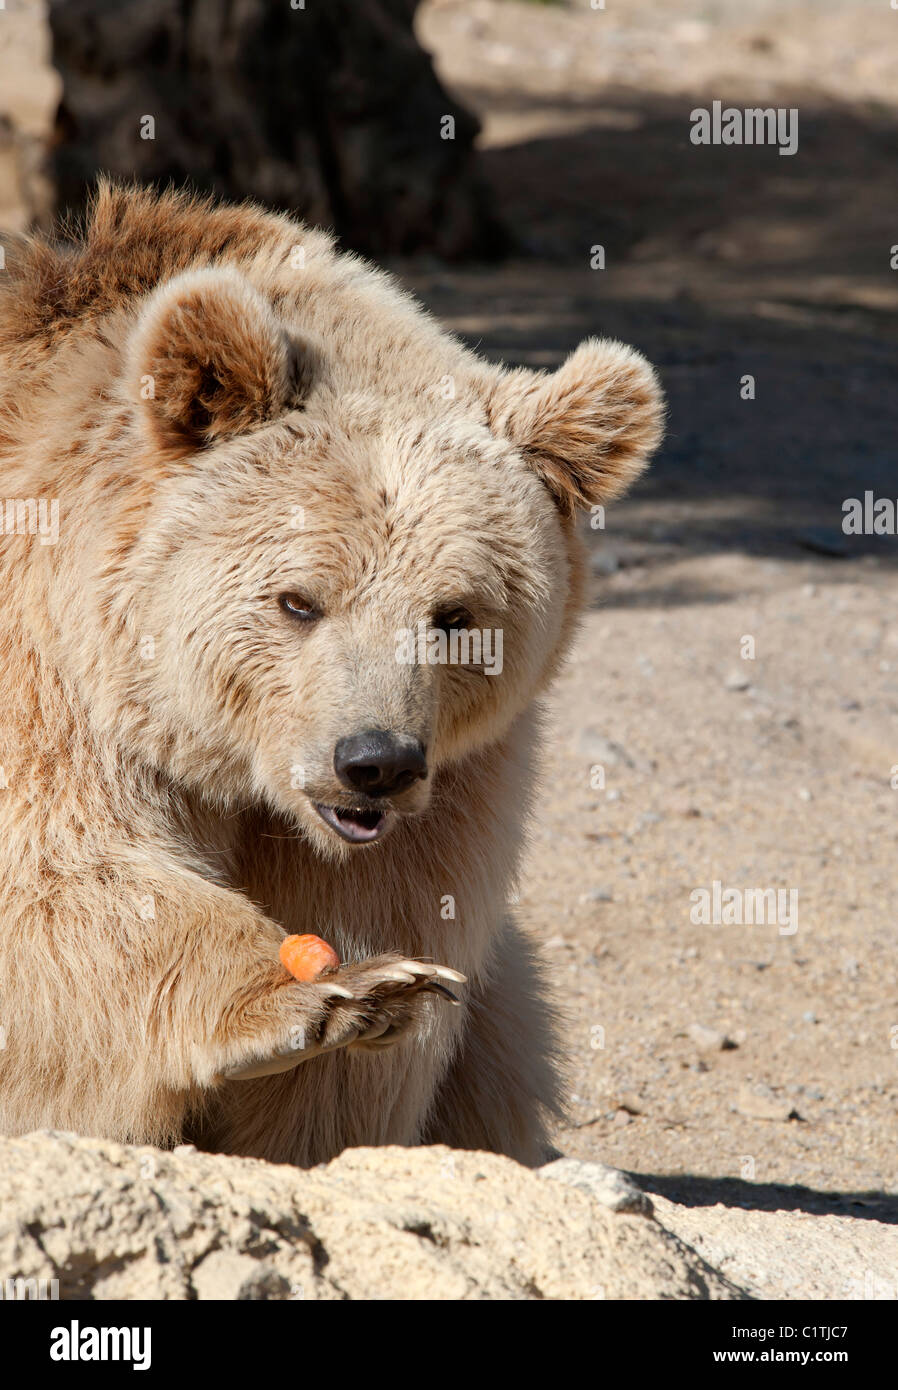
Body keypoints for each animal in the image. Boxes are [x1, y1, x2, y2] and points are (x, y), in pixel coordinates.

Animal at [0, 182, 662, 1167]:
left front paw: (371, 1005)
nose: (374, 761)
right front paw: (313, 995)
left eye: (455, 616)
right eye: (299, 600)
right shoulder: (52, 684)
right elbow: (58, 870)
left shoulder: (450, 789)